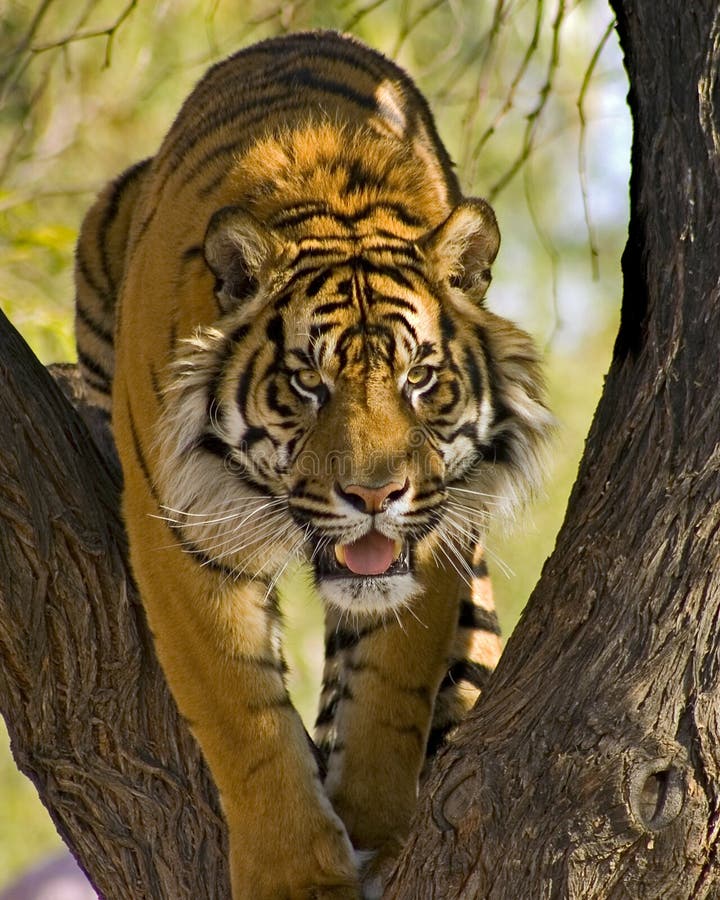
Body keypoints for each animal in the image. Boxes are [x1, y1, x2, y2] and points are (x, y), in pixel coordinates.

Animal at [74, 30, 552, 900]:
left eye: (418, 377)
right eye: (307, 383)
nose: (375, 493)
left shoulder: (434, 531)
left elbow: (390, 692)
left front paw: (379, 835)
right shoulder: (181, 532)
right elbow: (241, 714)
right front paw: (299, 875)